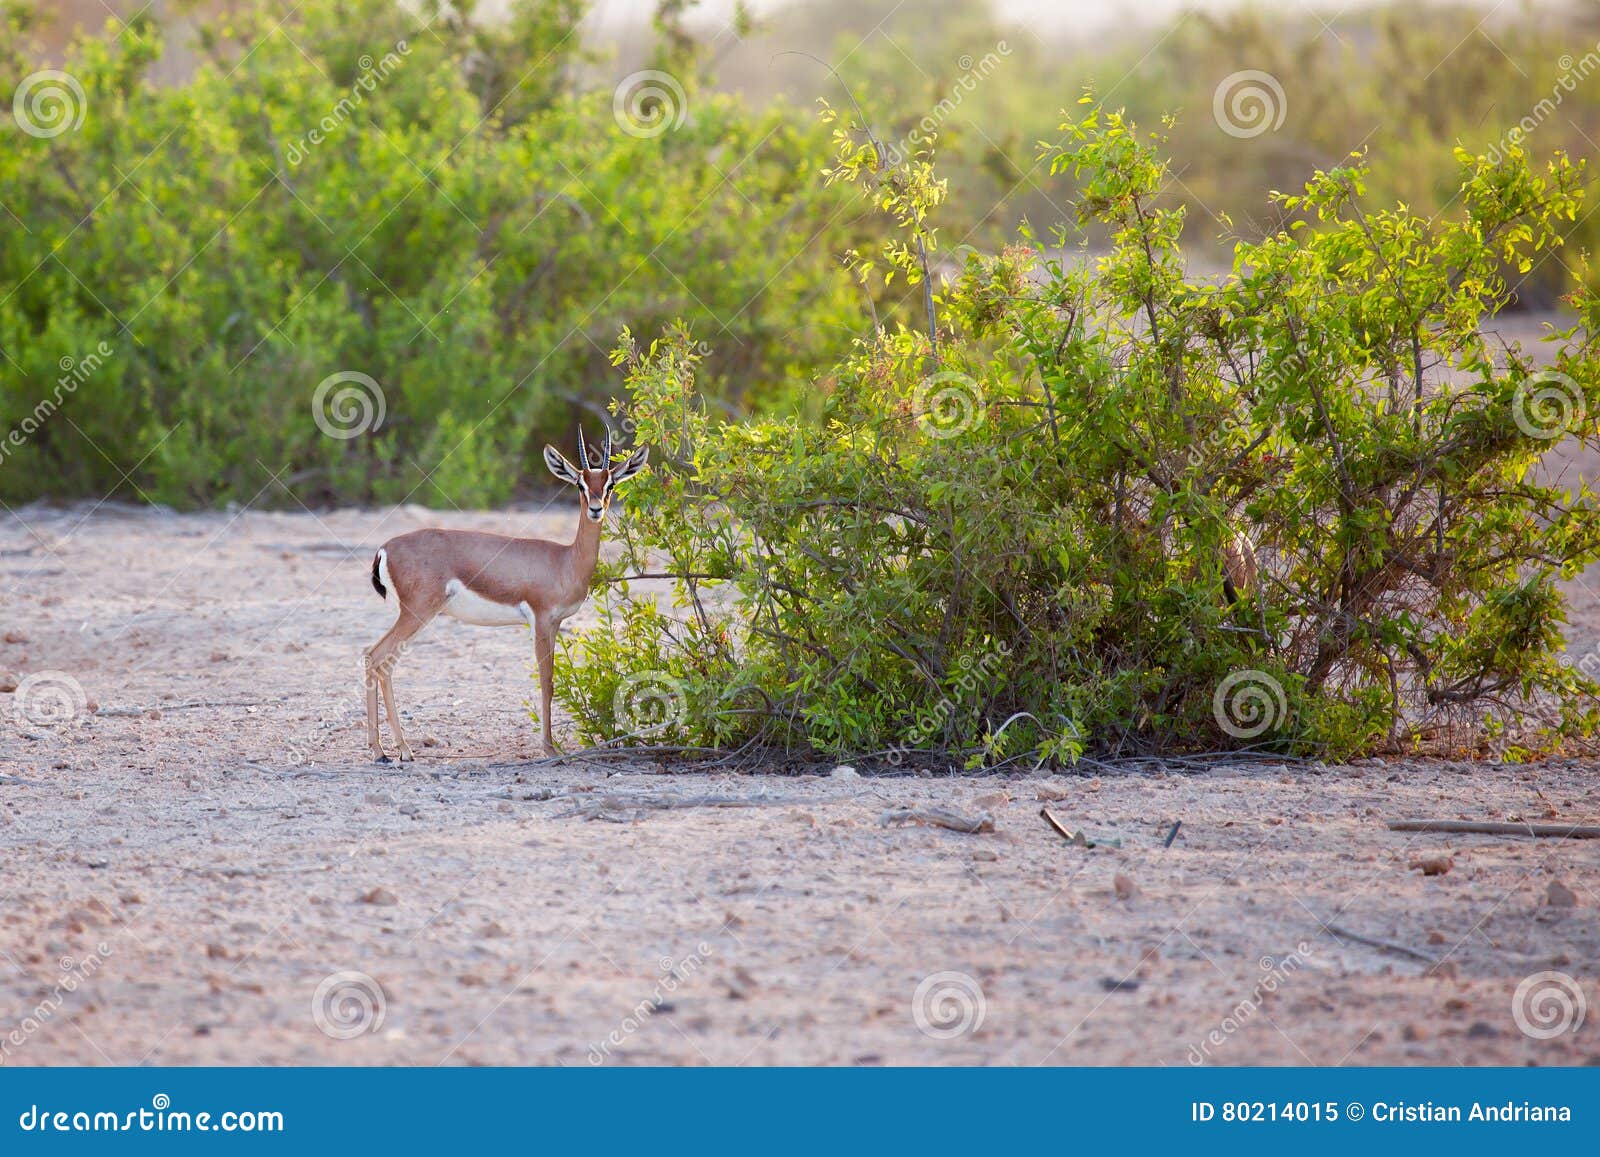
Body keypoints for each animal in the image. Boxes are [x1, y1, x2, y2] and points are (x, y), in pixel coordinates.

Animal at [363, 430, 648, 762]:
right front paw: (549, 748)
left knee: (377, 659)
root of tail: (385, 548)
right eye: (580, 483)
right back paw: (394, 750)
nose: (595, 509)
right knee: (377, 657)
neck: (565, 561)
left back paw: (386, 750)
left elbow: (550, 679)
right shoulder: (540, 619)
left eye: (609, 483)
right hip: (417, 613)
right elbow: (547, 680)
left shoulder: (555, 624)